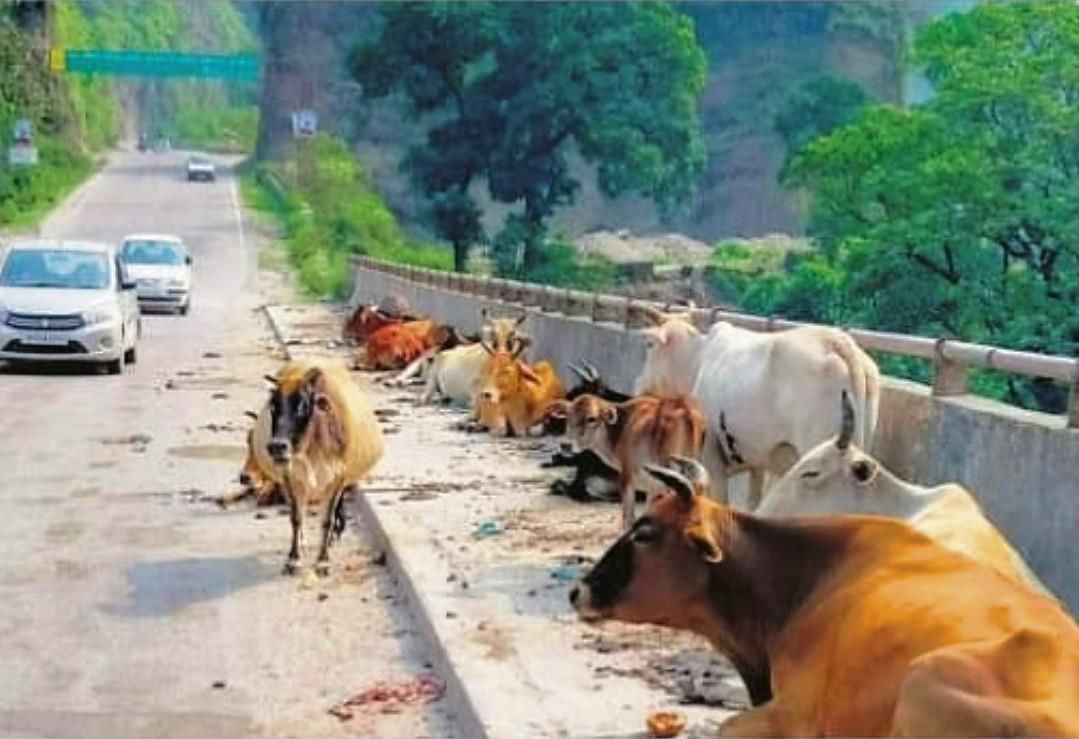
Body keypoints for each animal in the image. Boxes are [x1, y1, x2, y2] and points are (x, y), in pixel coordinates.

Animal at [264, 359, 384, 575]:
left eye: (303, 406)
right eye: (273, 406)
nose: (277, 446)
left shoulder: (337, 479)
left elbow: (326, 520)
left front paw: (322, 561)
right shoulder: (291, 477)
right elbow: (296, 518)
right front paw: (294, 558)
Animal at [543, 394, 704, 530]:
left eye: (591, 418)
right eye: (568, 417)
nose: (566, 445)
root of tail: (683, 406)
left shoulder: (627, 478)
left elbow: (628, 518)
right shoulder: (652, 485)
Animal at [634, 307, 880, 510]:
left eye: (649, 345)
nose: (638, 386)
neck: (698, 360)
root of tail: (839, 342)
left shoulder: (711, 455)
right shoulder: (758, 461)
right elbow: (753, 502)